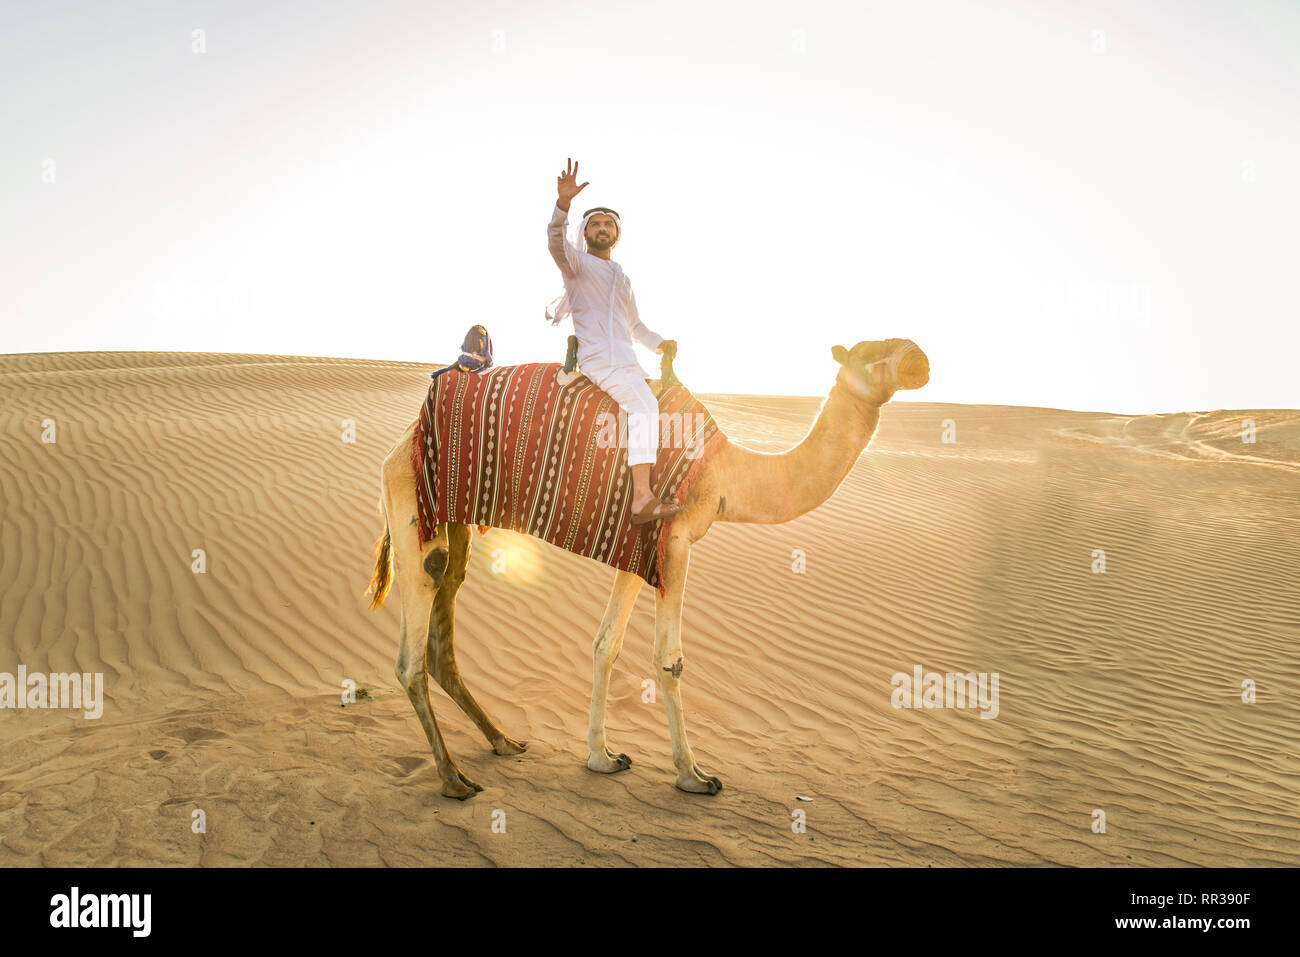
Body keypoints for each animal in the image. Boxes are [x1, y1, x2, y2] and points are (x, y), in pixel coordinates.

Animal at [367, 338, 929, 799]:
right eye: (871, 351)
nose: (920, 358)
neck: (726, 474)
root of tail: (398, 446)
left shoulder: (638, 551)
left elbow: (606, 644)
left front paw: (601, 757)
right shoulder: (676, 541)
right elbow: (669, 659)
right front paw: (692, 775)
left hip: (451, 523)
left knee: (444, 623)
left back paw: (503, 742)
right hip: (413, 509)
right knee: (410, 654)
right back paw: (452, 778)